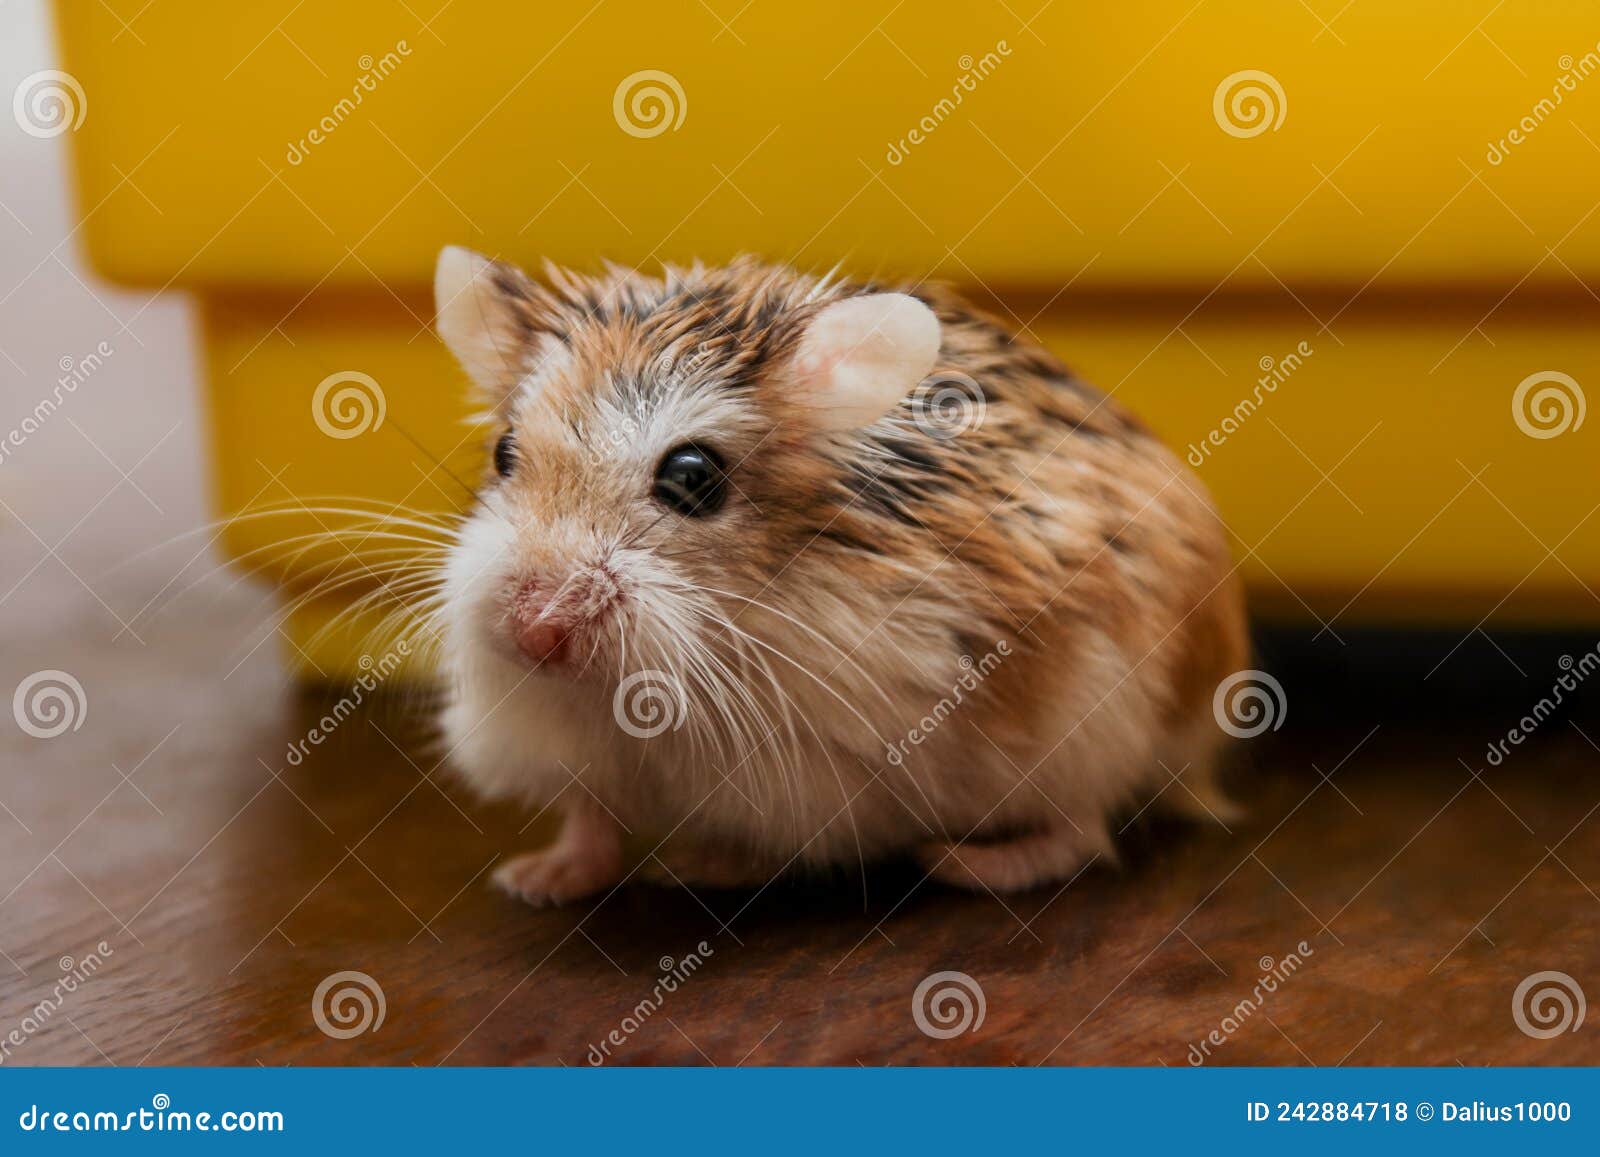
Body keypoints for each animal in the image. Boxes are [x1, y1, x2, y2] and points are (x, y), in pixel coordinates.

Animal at [430, 246, 1247, 905]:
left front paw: (694, 864)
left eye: (692, 477)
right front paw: (533, 880)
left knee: (1082, 831)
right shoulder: (570, 747)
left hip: (1099, 725)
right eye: (504, 452)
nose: (535, 633)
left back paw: (961, 863)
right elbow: (589, 817)